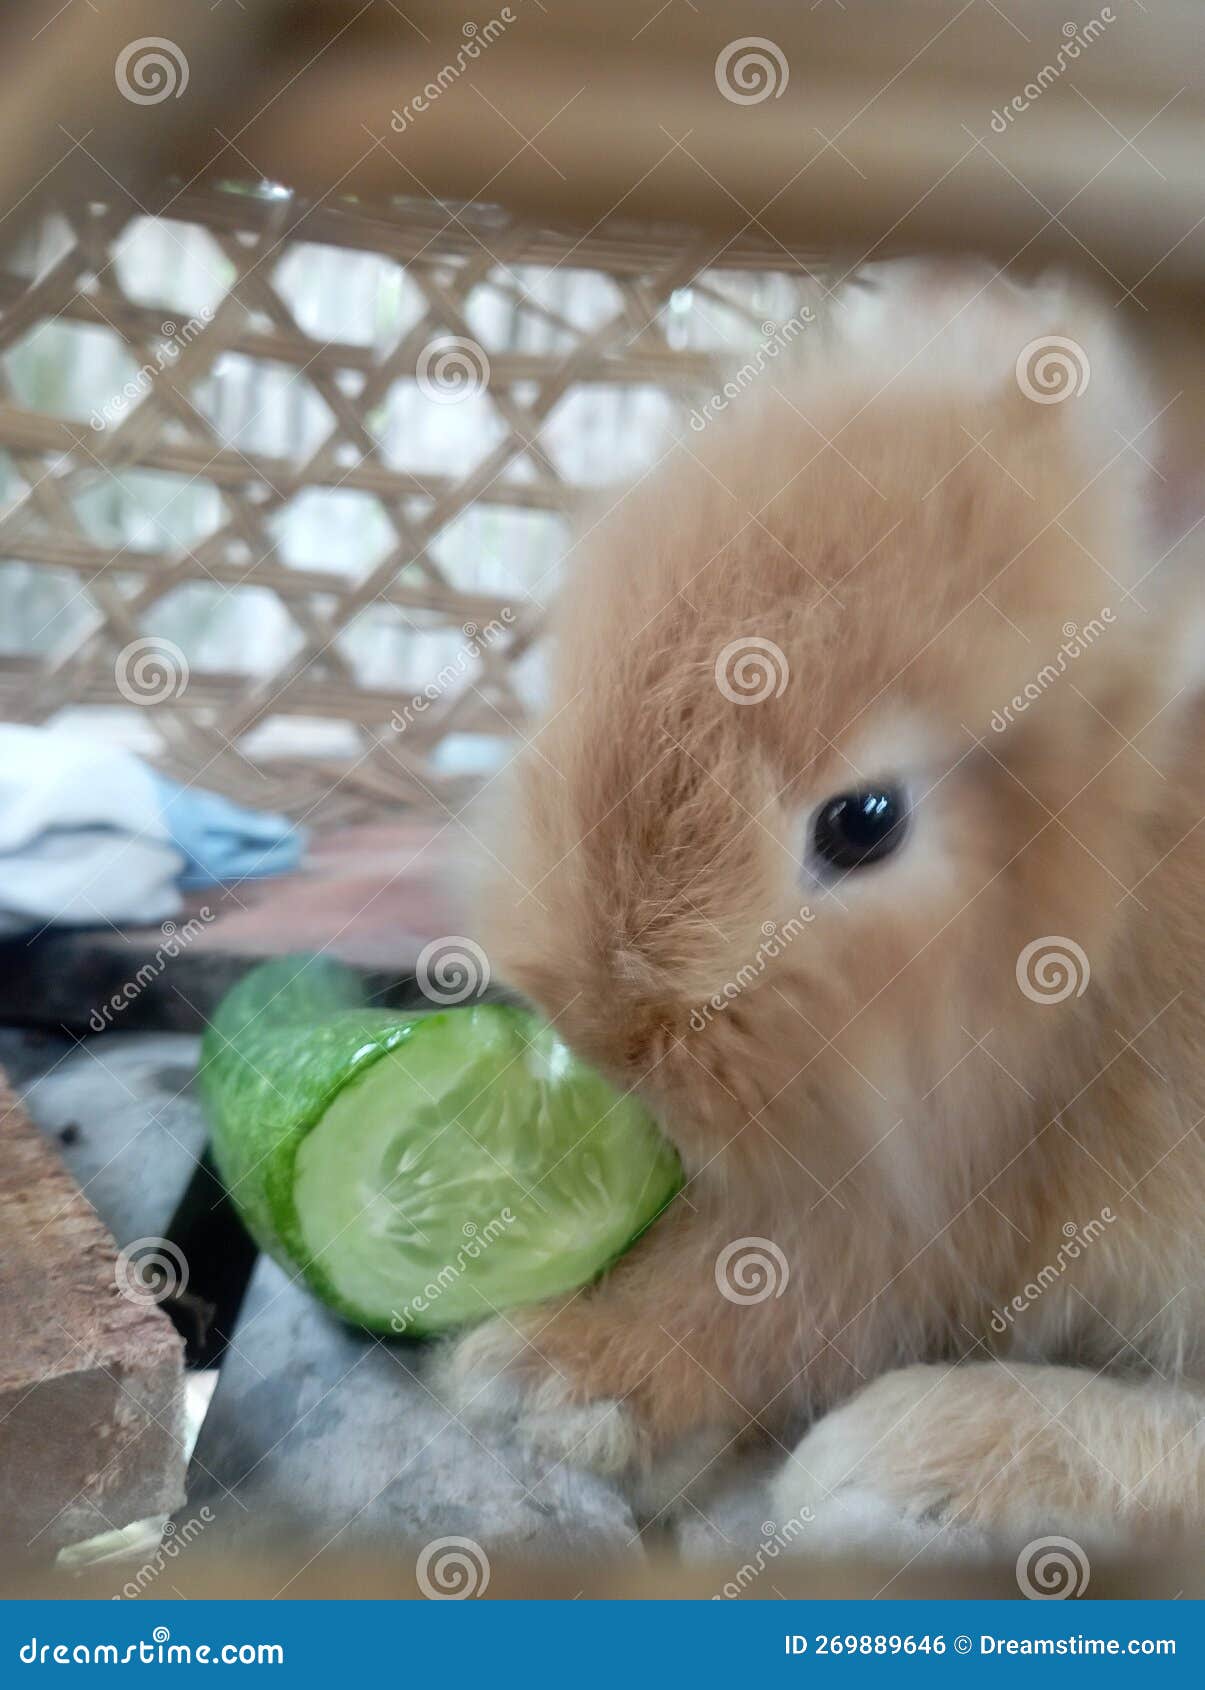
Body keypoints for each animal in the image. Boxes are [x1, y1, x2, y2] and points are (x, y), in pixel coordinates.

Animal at [435, 261, 1205, 1557]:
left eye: (863, 823)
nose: (613, 1039)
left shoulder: (924, 1191)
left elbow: (765, 1289)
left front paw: (542, 1380)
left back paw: (906, 1463)